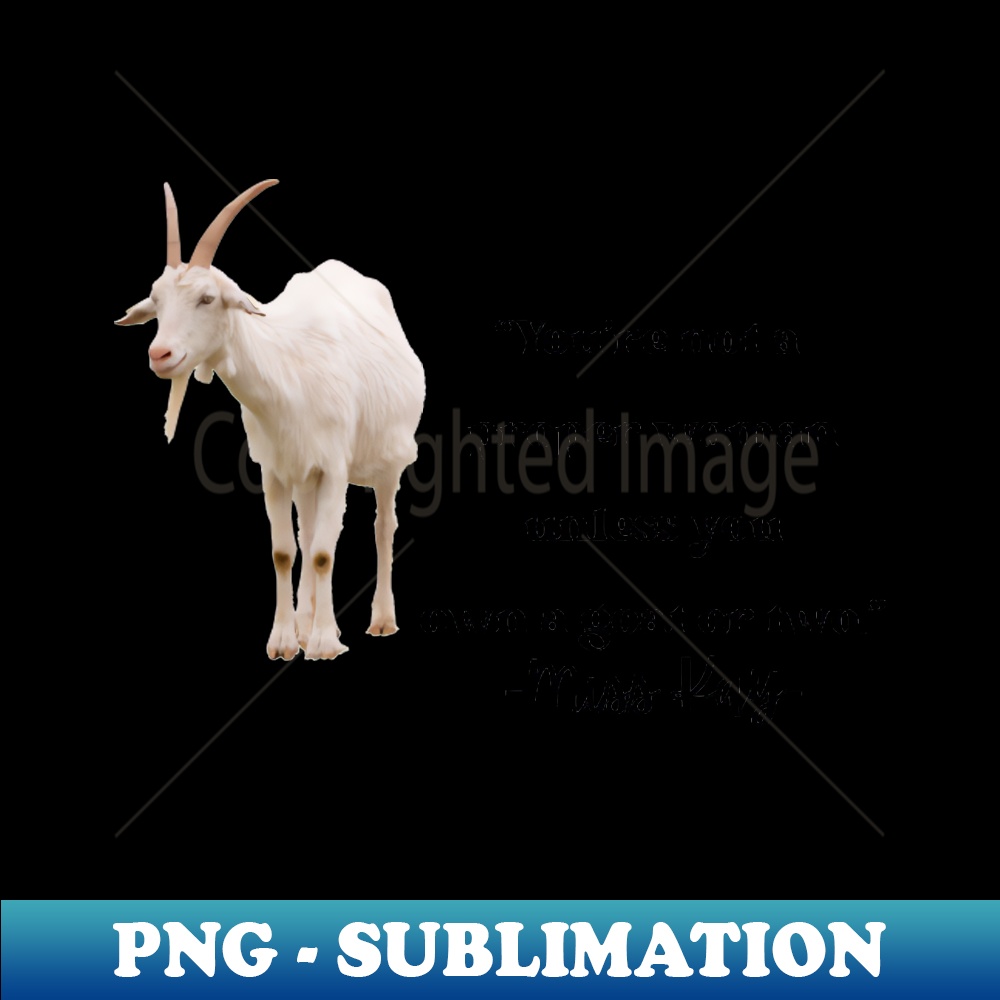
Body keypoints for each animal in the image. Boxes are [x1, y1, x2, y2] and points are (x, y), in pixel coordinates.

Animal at [116, 180, 425, 660]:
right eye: (157, 302)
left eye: (207, 298)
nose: (160, 355)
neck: (290, 372)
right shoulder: (276, 470)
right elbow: (285, 550)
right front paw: (285, 640)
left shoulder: (334, 467)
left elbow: (323, 552)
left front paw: (323, 644)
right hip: (304, 478)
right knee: (309, 530)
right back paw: (308, 624)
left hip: (389, 460)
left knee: (381, 528)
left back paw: (379, 620)